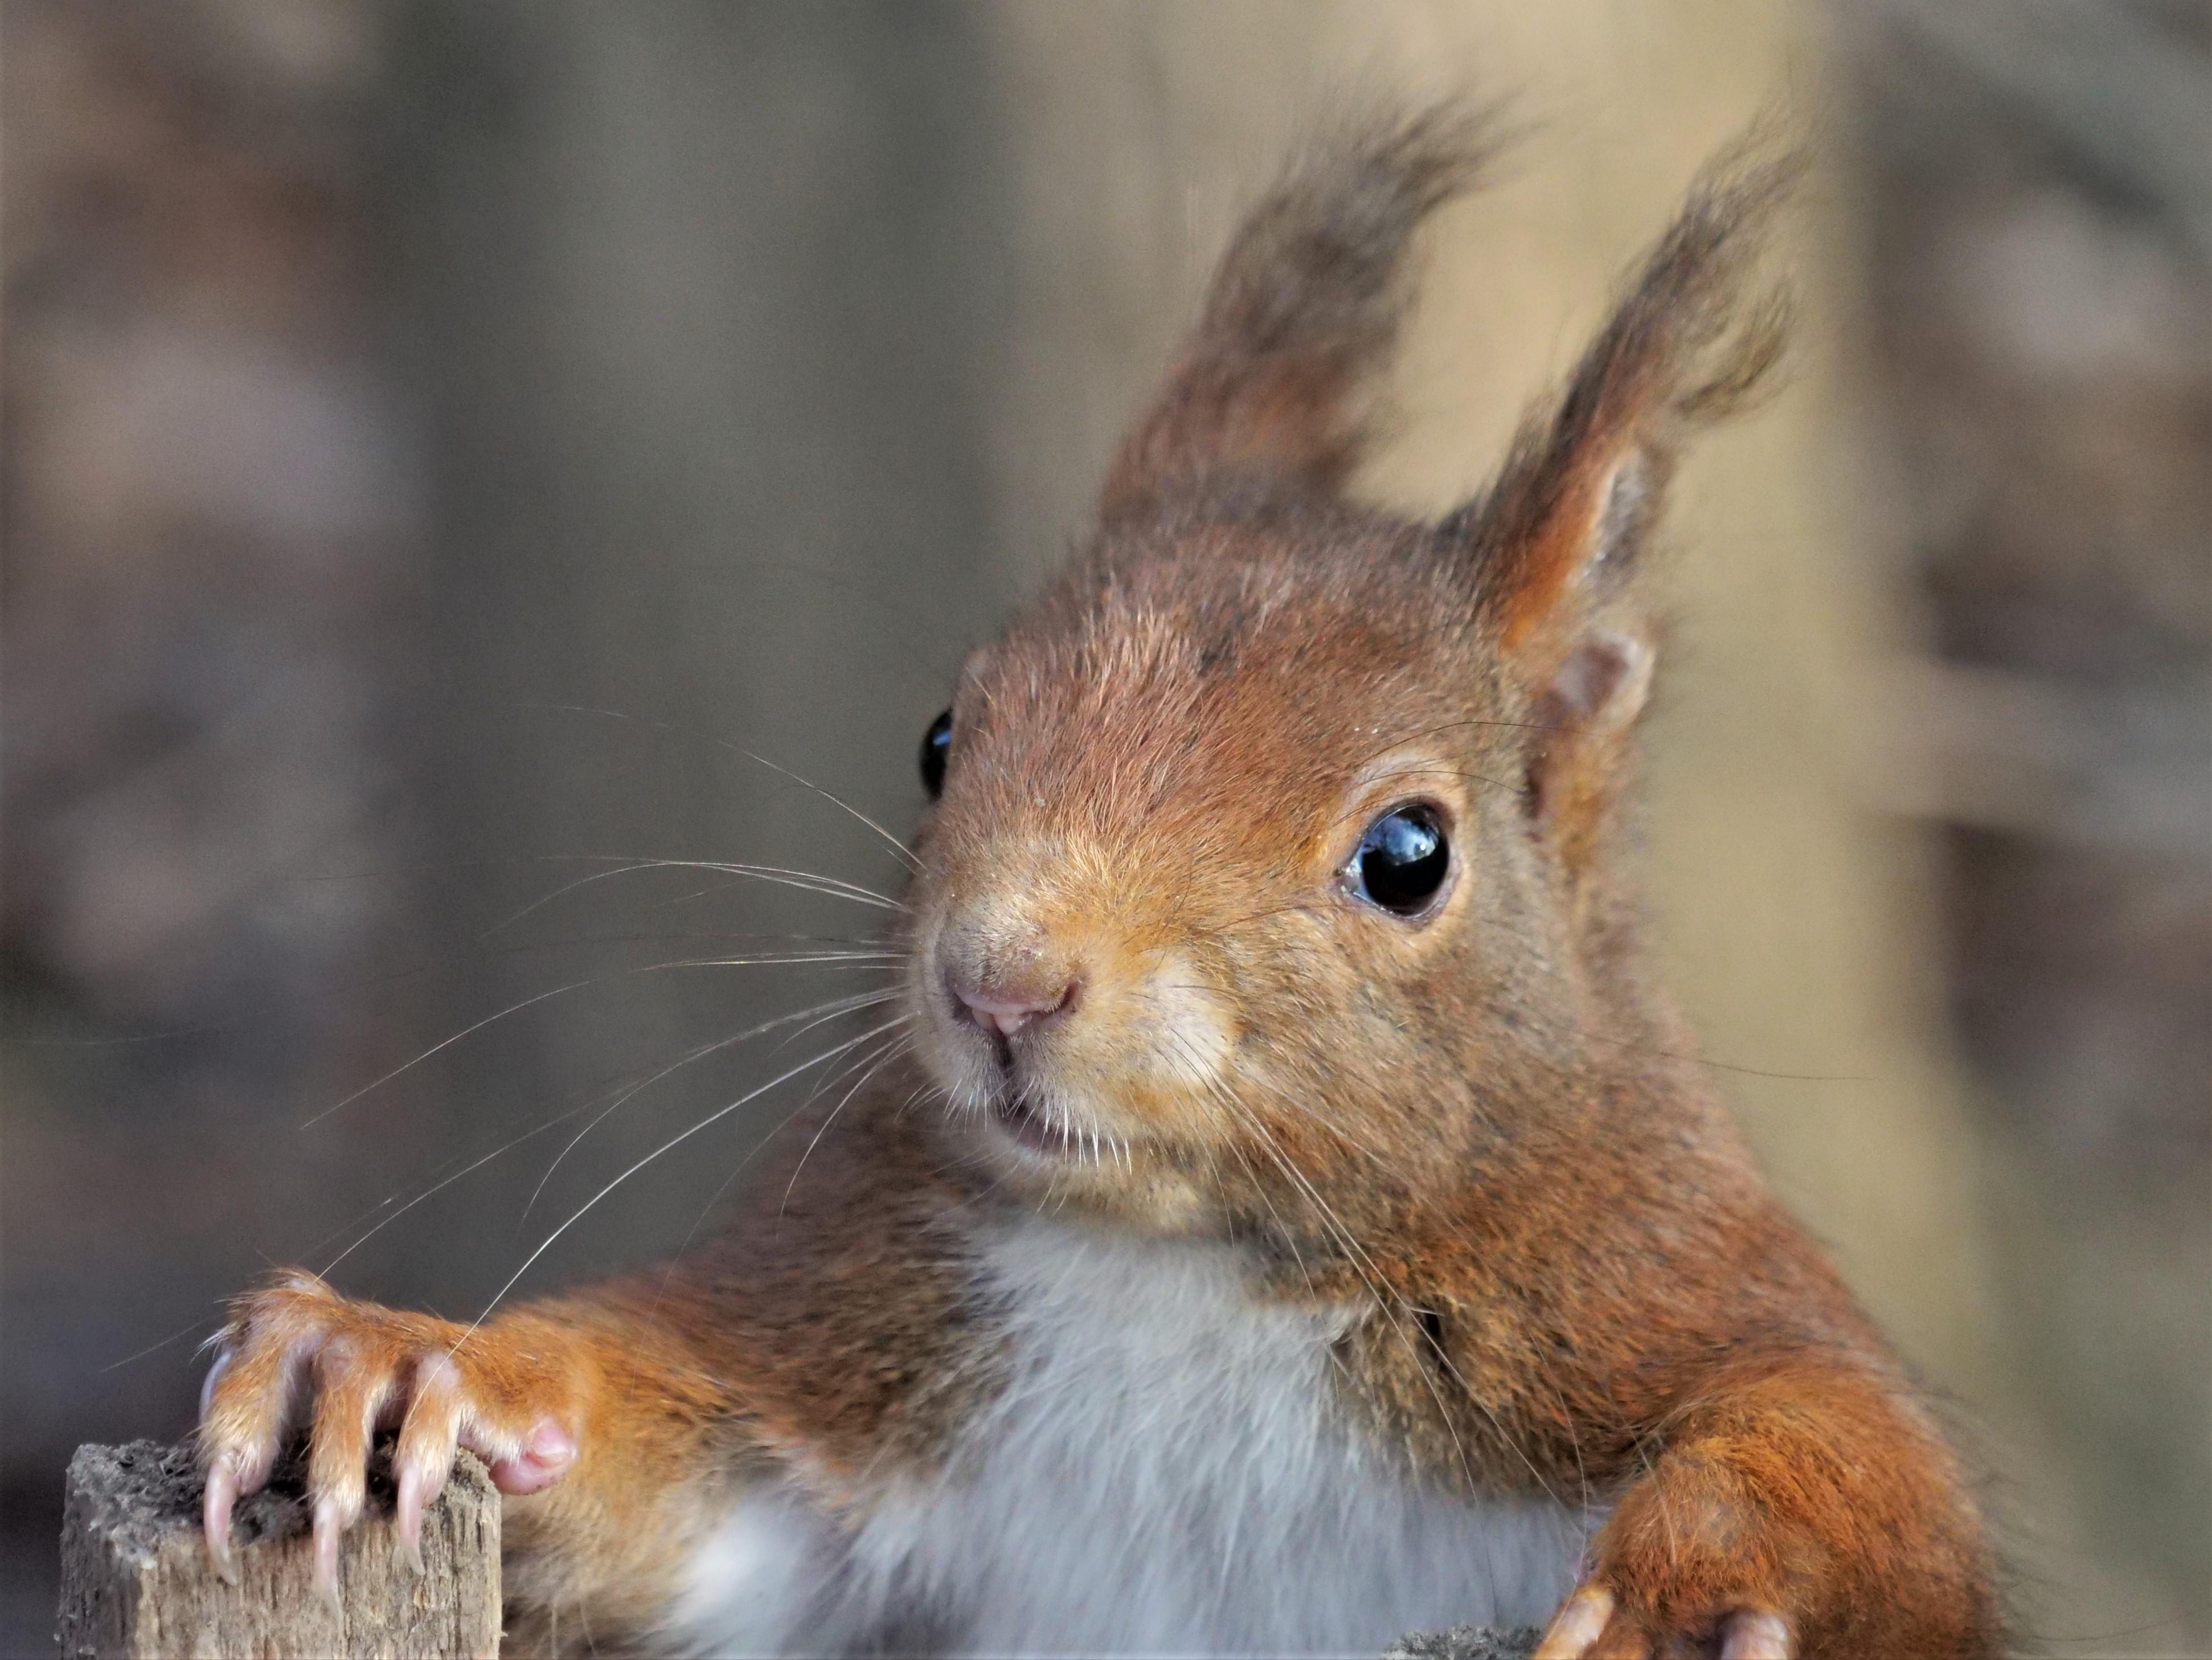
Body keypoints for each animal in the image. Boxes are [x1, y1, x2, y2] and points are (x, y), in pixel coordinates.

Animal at [196, 105, 2001, 1659]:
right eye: (941, 736)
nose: (1000, 982)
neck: (1184, 1270)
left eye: (1407, 855)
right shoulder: (857, 1393)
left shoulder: (1666, 1283)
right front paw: (399, 1357)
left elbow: (1865, 1467)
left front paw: (1693, 1584)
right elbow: (659, 1476)